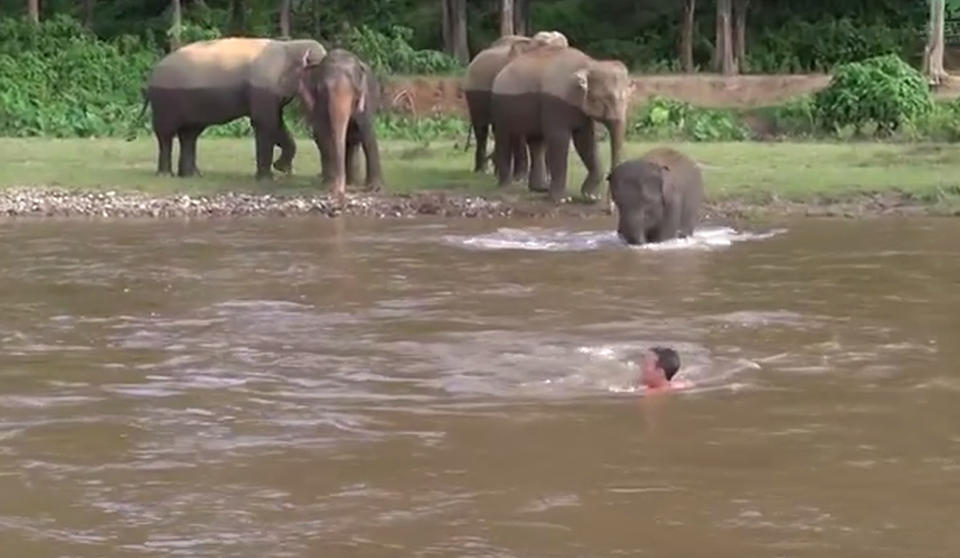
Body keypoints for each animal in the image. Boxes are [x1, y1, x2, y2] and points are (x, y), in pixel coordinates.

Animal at [144, 37, 326, 179]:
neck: (291, 46)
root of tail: (153, 74)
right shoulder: (262, 90)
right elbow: (264, 123)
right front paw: (267, 178)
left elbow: (276, 123)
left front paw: (282, 168)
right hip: (165, 102)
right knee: (166, 134)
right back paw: (166, 175)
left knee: (189, 135)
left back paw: (192, 175)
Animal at [298, 48, 384, 199]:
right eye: (322, 90)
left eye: (355, 90)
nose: (340, 191)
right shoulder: (318, 104)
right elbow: (323, 134)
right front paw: (328, 186)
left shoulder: (366, 100)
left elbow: (367, 134)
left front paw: (374, 188)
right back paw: (347, 181)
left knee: (354, 139)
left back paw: (353, 182)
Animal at [463, 31, 568, 178]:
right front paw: (521, 178)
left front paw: (546, 177)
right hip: (474, 94)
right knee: (482, 129)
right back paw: (482, 171)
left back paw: (496, 171)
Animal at [491, 46, 633, 202]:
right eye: (605, 99)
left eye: (628, 99)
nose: (609, 206)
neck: (590, 63)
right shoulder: (554, 102)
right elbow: (559, 139)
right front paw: (562, 199)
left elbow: (585, 140)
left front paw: (591, 196)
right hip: (501, 107)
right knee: (504, 137)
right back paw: (506, 185)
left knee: (536, 142)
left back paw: (540, 188)